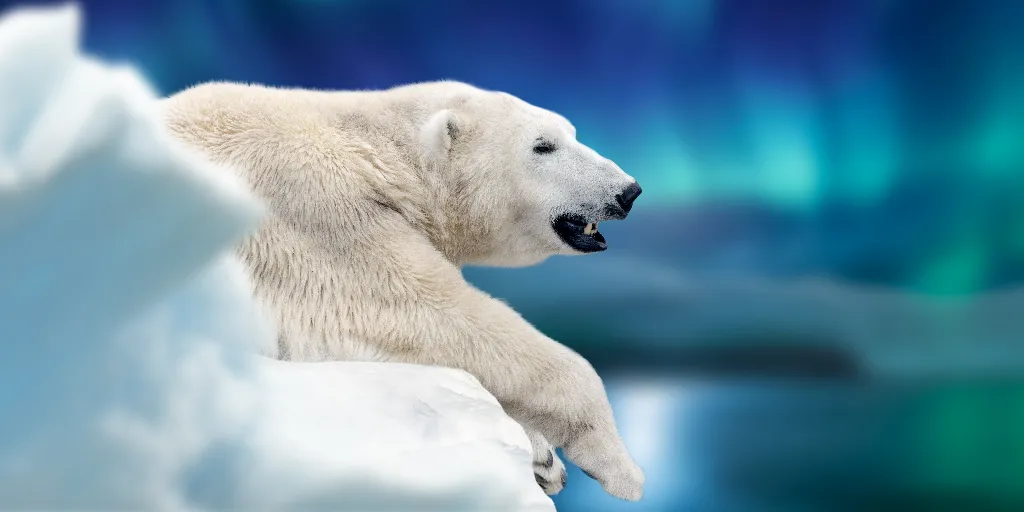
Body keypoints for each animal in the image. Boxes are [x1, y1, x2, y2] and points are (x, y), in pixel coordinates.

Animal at [161, 80, 646, 501]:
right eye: (542, 145)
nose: (628, 191)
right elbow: (423, 313)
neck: (374, 152)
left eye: (571, 133)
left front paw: (543, 459)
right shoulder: (314, 209)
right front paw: (620, 468)